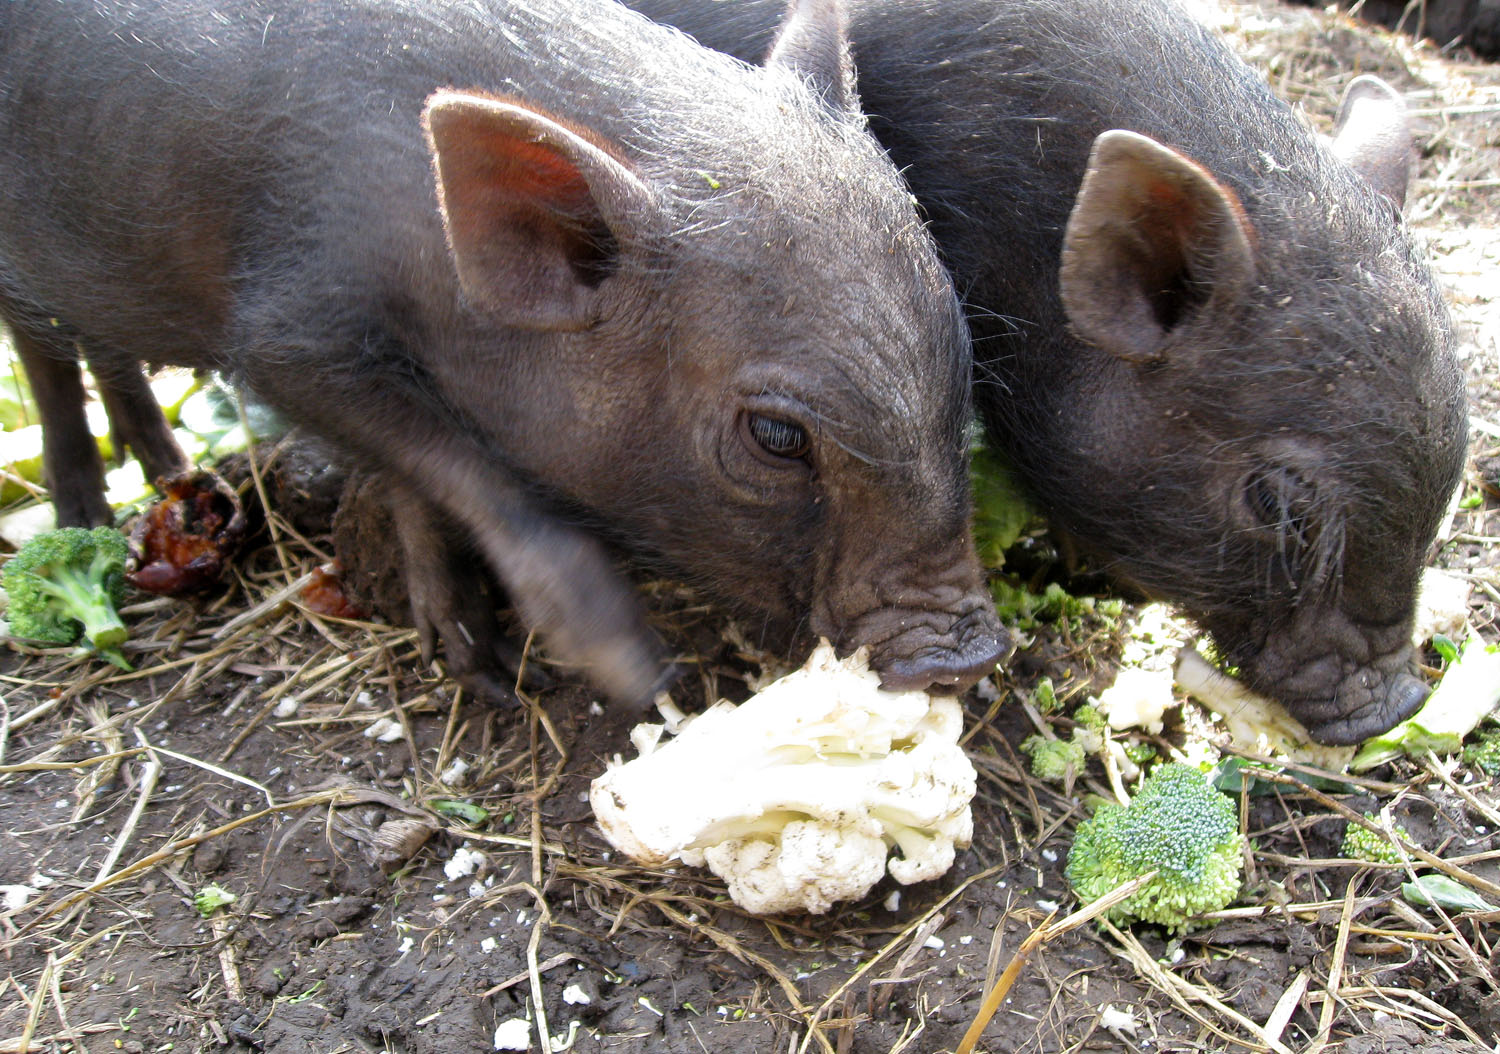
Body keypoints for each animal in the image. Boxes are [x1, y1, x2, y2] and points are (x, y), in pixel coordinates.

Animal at [0, 0, 1008, 705]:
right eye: (777, 437)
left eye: (962, 361)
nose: (971, 654)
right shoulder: (290, 331)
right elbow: (469, 472)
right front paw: (615, 670)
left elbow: (423, 484)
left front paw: (470, 660)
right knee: (41, 355)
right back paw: (84, 513)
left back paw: (165, 470)